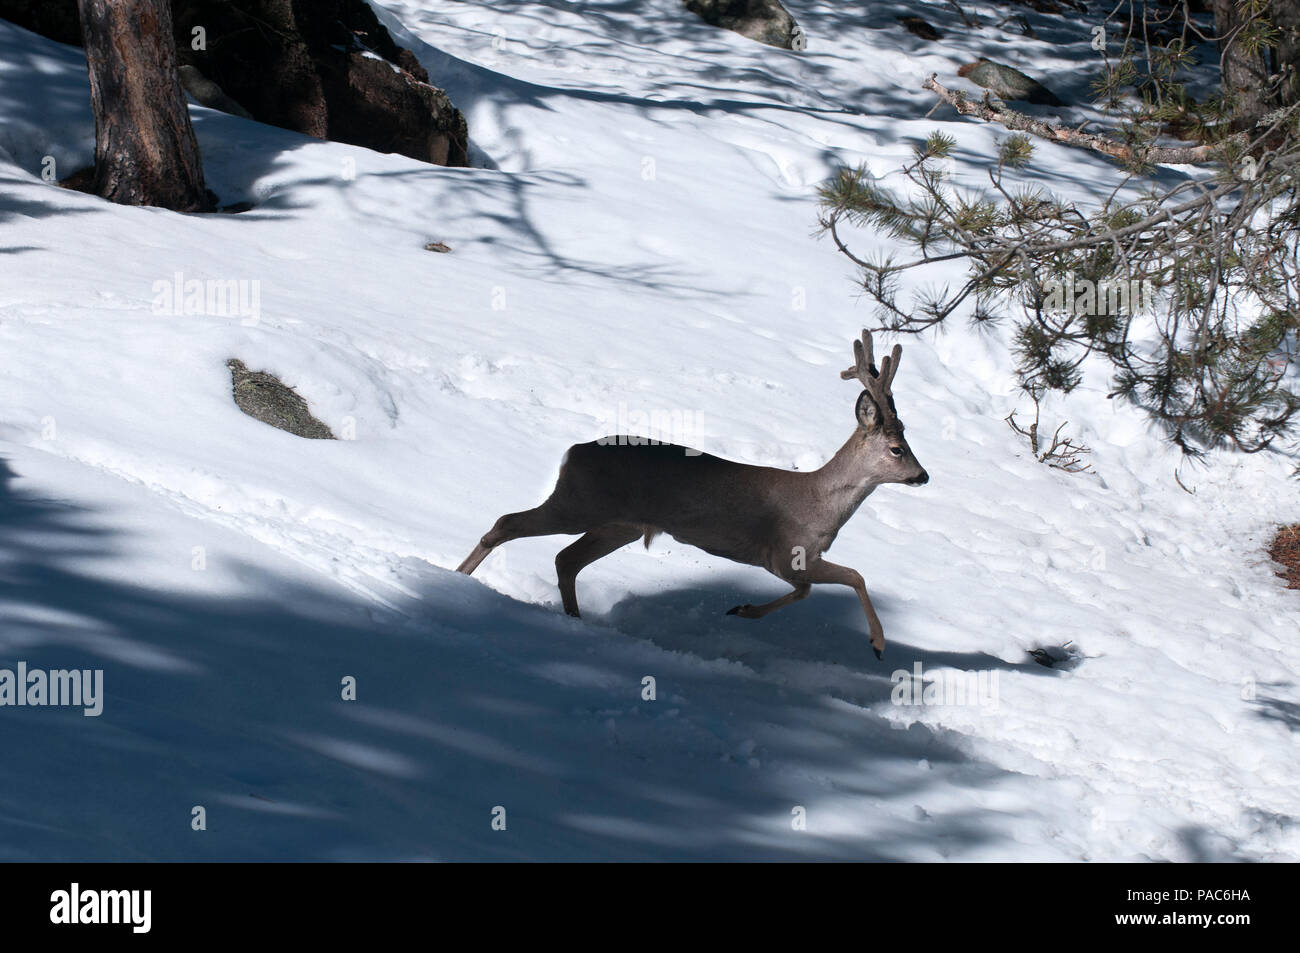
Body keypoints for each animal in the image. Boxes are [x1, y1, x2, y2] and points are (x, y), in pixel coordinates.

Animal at [456, 329, 929, 658]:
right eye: (896, 448)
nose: (922, 476)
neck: (821, 508)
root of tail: (572, 451)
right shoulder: (783, 552)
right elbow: (850, 577)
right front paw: (878, 644)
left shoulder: (789, 561)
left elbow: (812, 589)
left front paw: (742, 609)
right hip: (579, 503)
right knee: (508, 523)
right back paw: (459, 578)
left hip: (620, 525)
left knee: (565, 559)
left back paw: (575, 619)